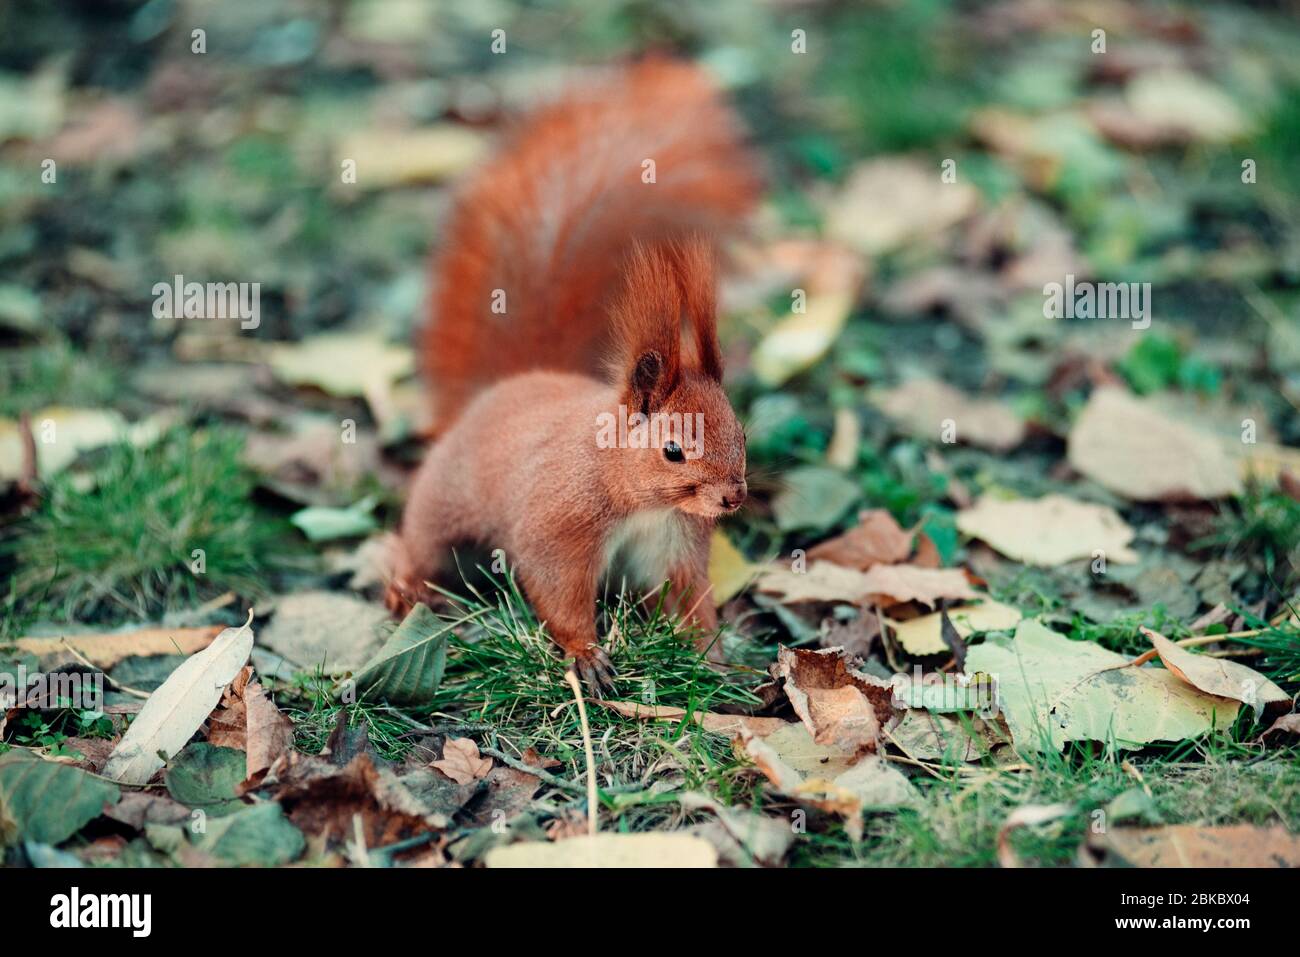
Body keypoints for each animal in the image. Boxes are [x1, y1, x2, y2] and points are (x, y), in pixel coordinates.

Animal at [385, 58, 761, 692]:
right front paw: (586, 654)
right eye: (673, 451)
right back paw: (406, 585)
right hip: (443, 502)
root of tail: (504, 388)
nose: (732, 498)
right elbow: (557, 589)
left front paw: (713, 657)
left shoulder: (674, 542)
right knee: (419, 545)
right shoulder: (558, 524)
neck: (635, 497)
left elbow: (690, 599)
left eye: (741, 434)